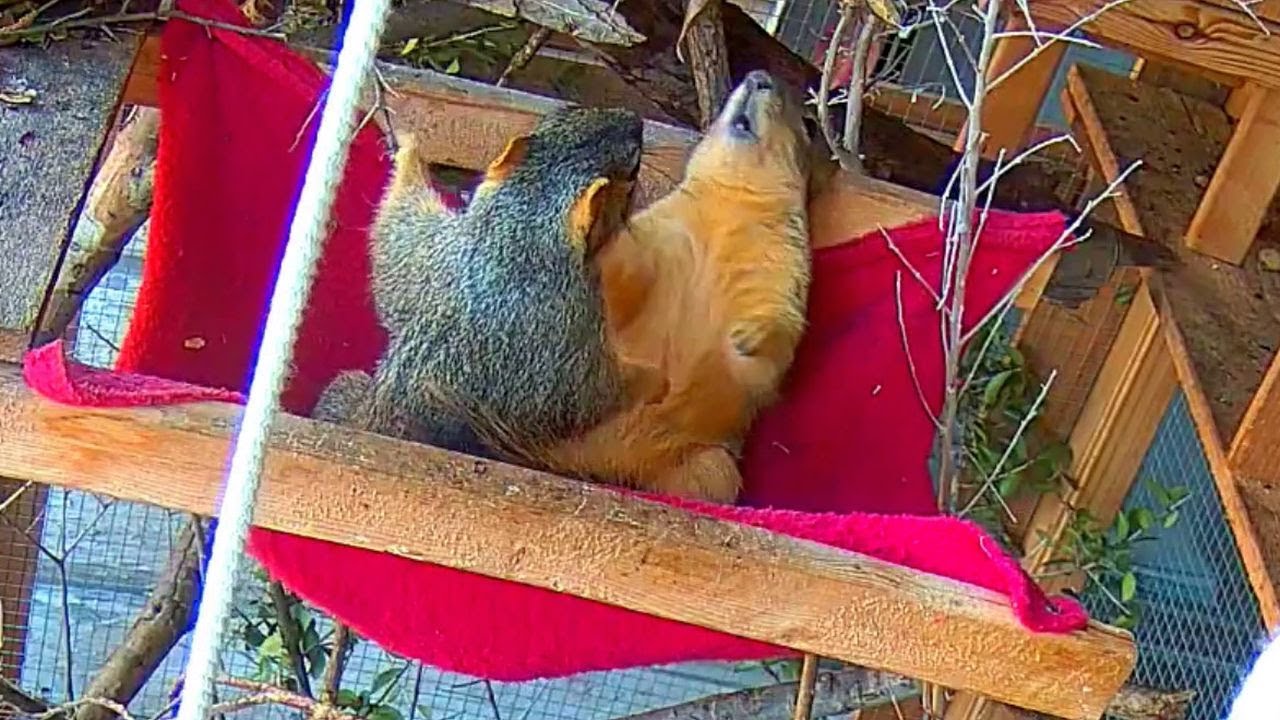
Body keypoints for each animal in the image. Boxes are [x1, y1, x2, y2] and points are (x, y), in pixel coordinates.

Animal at [314, 106, 663, 460]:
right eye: (632, 171)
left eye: (559, 114)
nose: (637, 121)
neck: (520, 234)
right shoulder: (568, 332)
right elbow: (588, 400)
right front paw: (650, 378)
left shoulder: (438, 255)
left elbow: (399, 239)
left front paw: (408, 149)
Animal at [540, 70, 815, 504]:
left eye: (807, 125)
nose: (758, 76)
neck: (729, 205)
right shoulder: (660, 233)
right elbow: (627, 276)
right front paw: (599, 227)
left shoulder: (783, 263)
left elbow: (778, 320)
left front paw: (748, 335)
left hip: (711, 465)